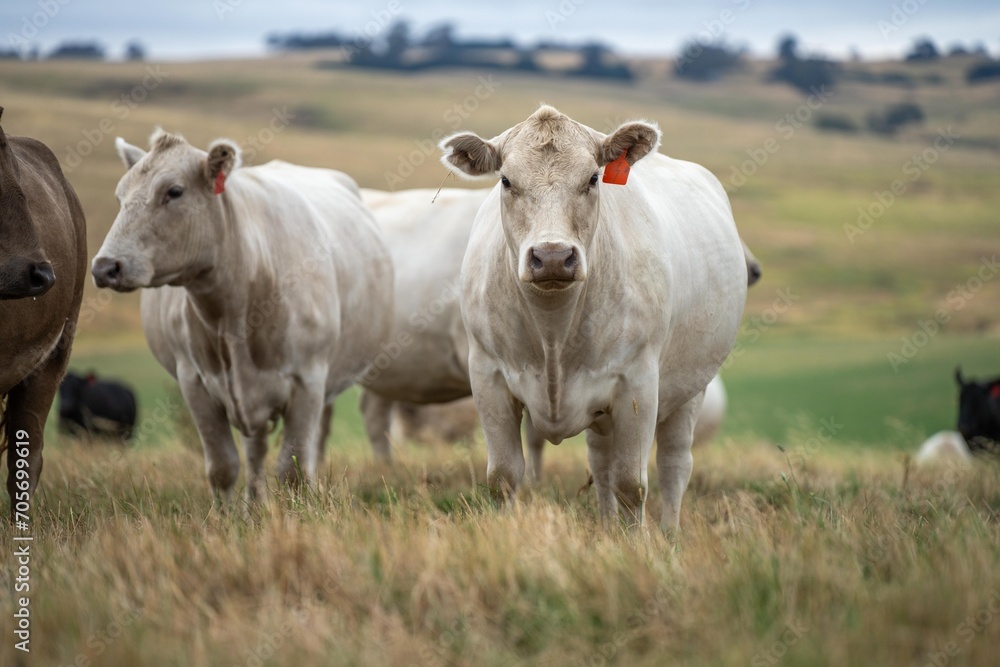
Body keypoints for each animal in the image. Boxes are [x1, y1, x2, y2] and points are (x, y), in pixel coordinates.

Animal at [91, 130, 394, 504]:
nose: (105, 267)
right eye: (120, 196)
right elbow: (222, 466)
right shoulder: (194, 381)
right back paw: (254, 504)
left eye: (174, 191)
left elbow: (293, 469)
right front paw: (228, 515)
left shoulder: (309, 380)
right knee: (255, 450)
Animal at [440, 105, 747, 531]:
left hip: (690, 389)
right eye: (505, 180)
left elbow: (632, 483)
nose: (552, 256)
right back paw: (606, 524)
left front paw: (637, 542)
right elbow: (503, 475)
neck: (553, 331)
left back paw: (669, 533)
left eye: (592, 178)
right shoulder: (488, 377)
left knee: (674, 465)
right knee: (600, 462)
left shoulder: (638, 384)